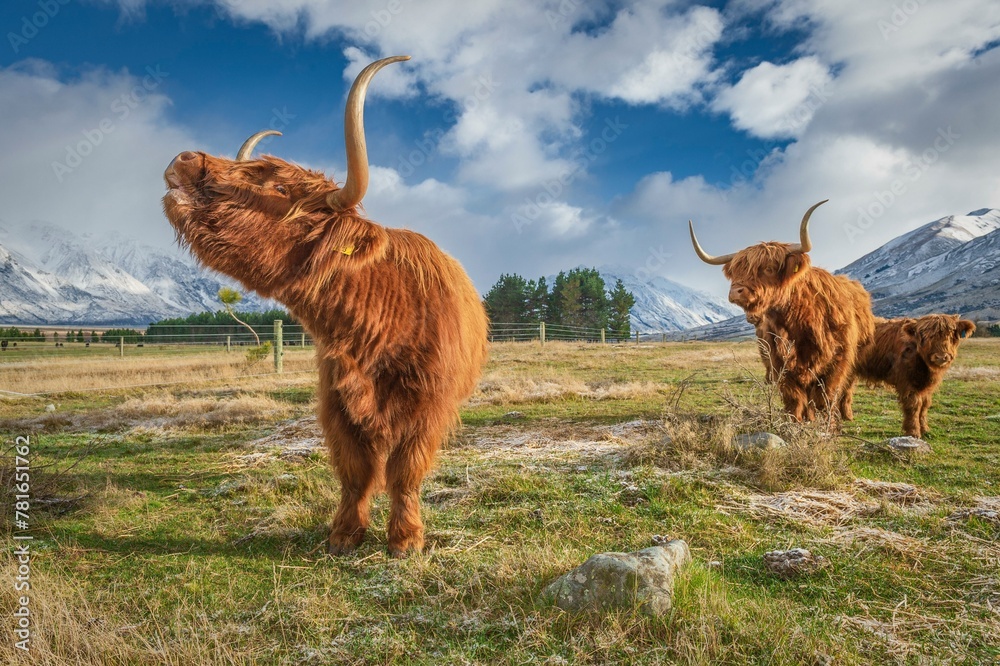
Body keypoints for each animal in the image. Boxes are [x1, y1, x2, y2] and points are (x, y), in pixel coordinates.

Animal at [162, 56, 489, 557]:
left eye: (278, 187)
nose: (183, 159)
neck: (381, 321)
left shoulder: (426, 407)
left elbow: (405, 471)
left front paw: (405, 539)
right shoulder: (336, 403)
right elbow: (356, 470)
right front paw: (344, 534)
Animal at [689, 201, 876, 422]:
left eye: (769, 268)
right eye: (735, 272)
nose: (736, 292)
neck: (797, 320)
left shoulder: (837, 360)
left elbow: (824, 396)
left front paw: (824, 423)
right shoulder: (778, 360)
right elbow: (793, 396)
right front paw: (794, 421)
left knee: (847, 388)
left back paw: (847, 414)